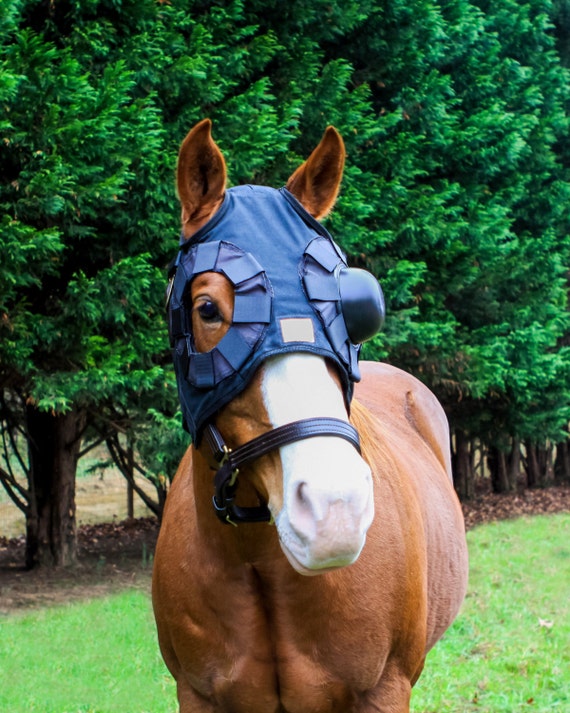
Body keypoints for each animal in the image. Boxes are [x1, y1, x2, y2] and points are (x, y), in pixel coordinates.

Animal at [152, 119, 469, 713]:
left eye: (352, 305)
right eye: (207, 308)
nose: (334, 510)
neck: (256, 556)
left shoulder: (383, 688)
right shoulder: (198, 694)